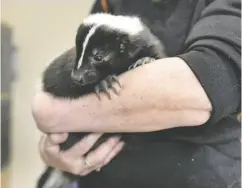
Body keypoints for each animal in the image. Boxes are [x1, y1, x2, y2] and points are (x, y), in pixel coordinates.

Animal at [37, 13, 166, 188]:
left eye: (98, 56)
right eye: (78, 52)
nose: (77, 77)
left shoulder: (149, 46)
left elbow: (155, 56)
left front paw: (144, 60)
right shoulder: (64, 72)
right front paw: (105, 82)